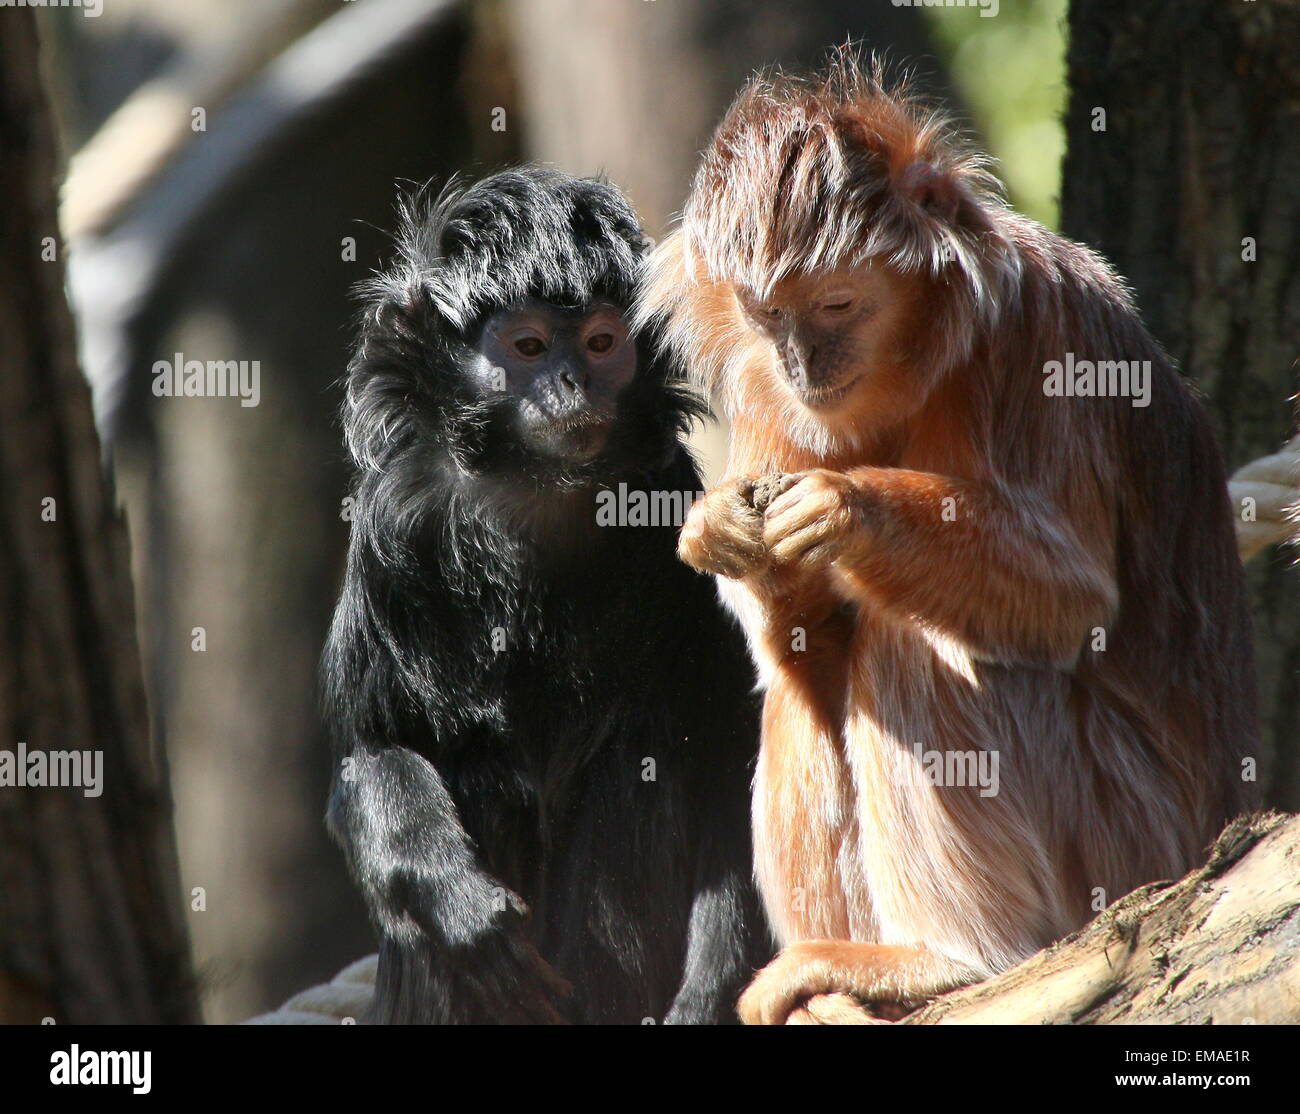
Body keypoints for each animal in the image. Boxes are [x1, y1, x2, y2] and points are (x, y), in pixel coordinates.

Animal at [322, 168, 769, 1024]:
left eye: (601, 345)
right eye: (527, 347)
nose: (571, 384)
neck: (538, 491)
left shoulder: (668, 507)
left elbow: (726, 747)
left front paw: (714, 986)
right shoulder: (393, 527)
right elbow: (372, 753)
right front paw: (456, 902)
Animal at [637, 56, 1259, 1024]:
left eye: (838, 304)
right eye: (770, 318)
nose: (804, 365)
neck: (915, 361)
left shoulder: (1042, 332)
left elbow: (1075, 599)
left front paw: (846, 508)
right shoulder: (767, 398)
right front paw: (729, 532)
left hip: (1124, 833)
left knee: (912, 641)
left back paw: (946, 962)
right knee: (807, 668)